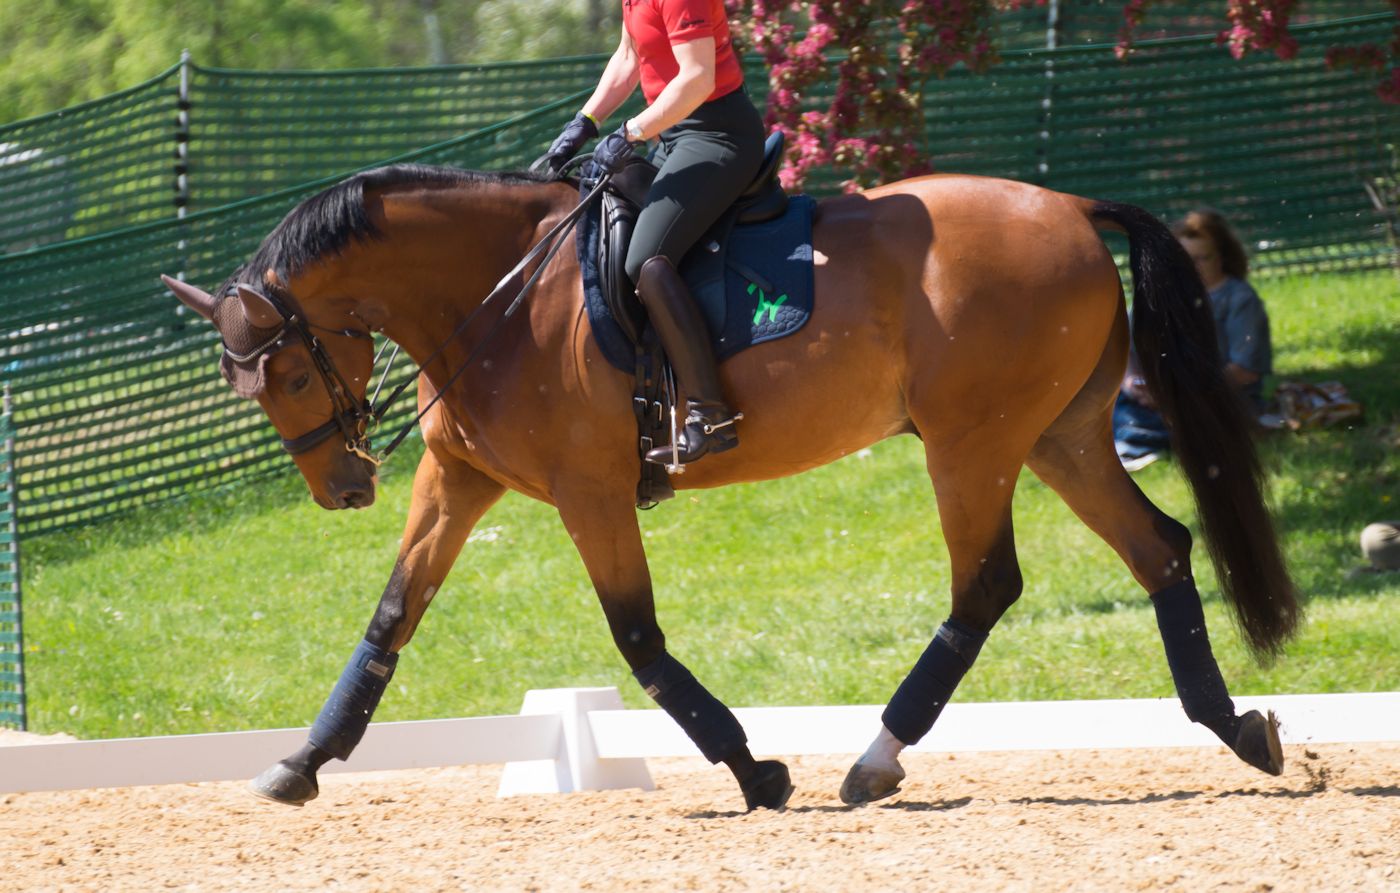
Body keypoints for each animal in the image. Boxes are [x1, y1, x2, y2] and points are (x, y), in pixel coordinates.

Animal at [162, 163, 1299, 811]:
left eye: (289, 373)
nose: (343, 486)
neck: (495, 296)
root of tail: (1068, 205)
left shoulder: (589, 490)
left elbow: (637, 640)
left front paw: (754, 771)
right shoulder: (460, 476)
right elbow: (392, 616)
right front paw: (301, 763)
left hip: (969, 442)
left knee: (984, 586)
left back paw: (872, 759)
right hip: (1059, 436)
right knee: (1158, 550)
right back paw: (1236, 726)